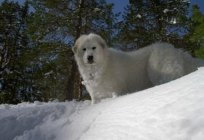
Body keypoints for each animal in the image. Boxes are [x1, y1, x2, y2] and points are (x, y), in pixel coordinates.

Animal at [72, 32, 203, 103]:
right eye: (84, 49)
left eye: (93, 48)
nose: (89, 57)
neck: (101, 66)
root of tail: (176, 50)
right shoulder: (94, 93)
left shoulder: (117, 90)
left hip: (156, 68)